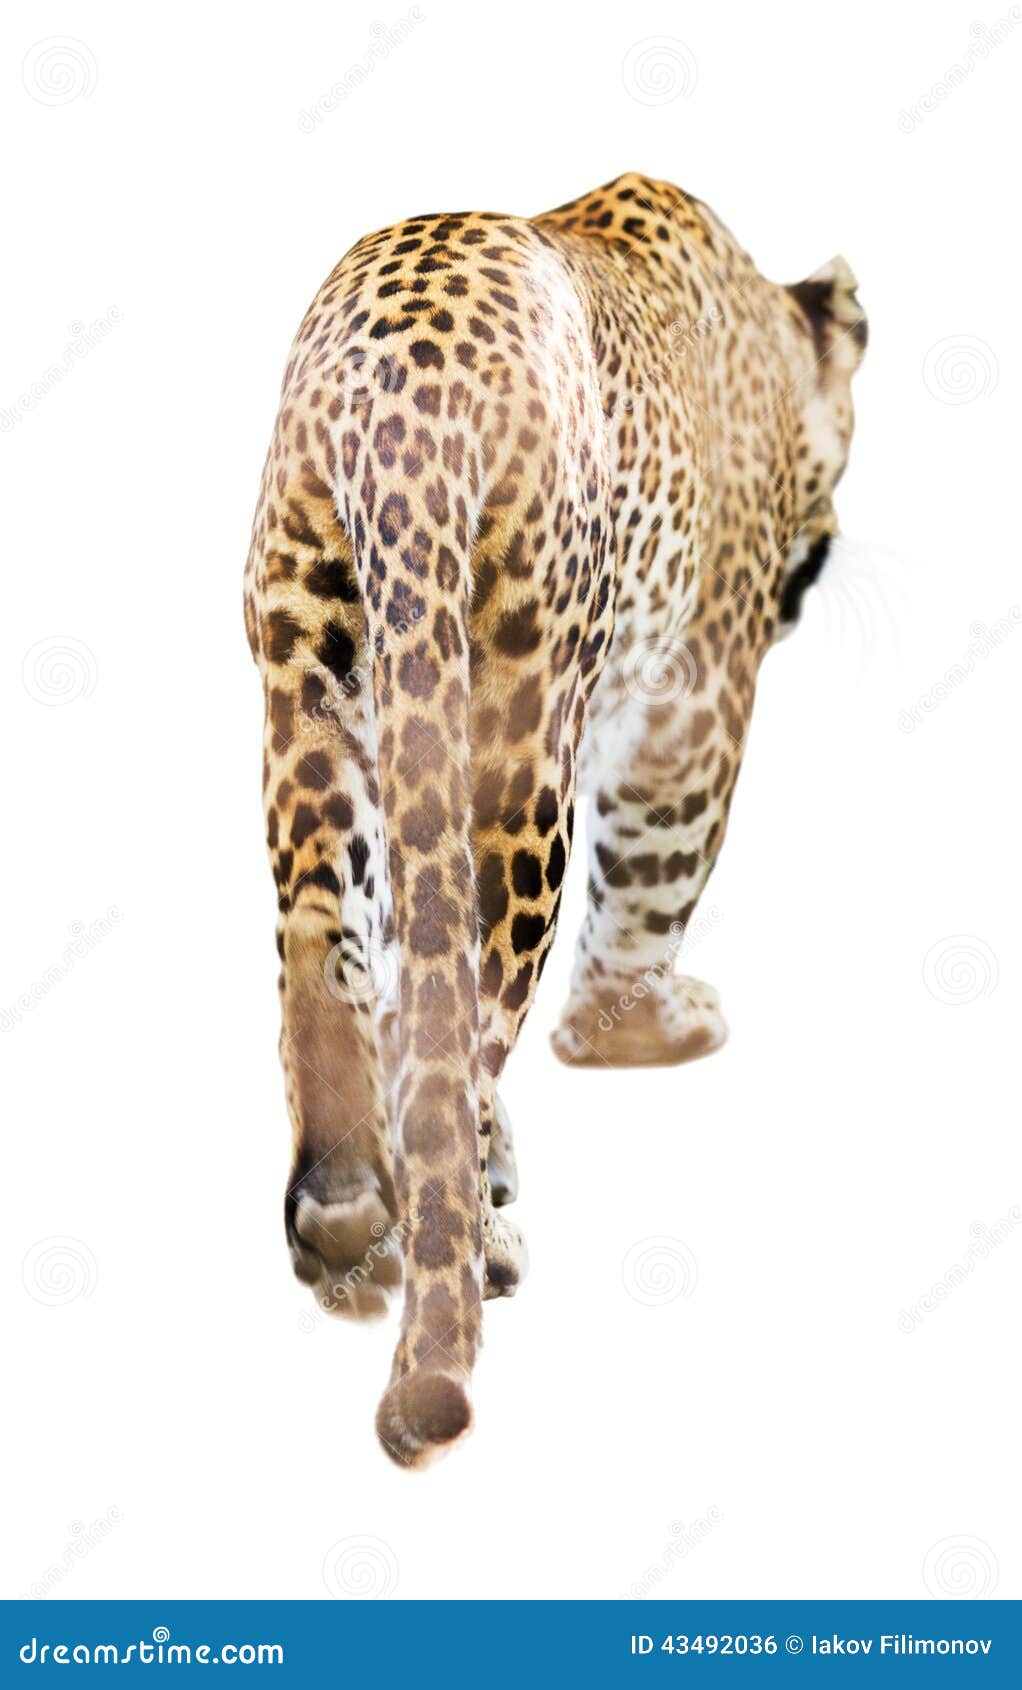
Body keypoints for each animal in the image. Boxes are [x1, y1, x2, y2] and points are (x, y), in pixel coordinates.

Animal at [243, 172, 866, 1468]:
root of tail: (394, 390)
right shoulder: (694, 693)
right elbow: (656, 875)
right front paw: (639, 1028)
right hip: (519, 737)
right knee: (448, 1026)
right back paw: (465, 1246)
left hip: (305, 676)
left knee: (328, 960)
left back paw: (348, 1219)